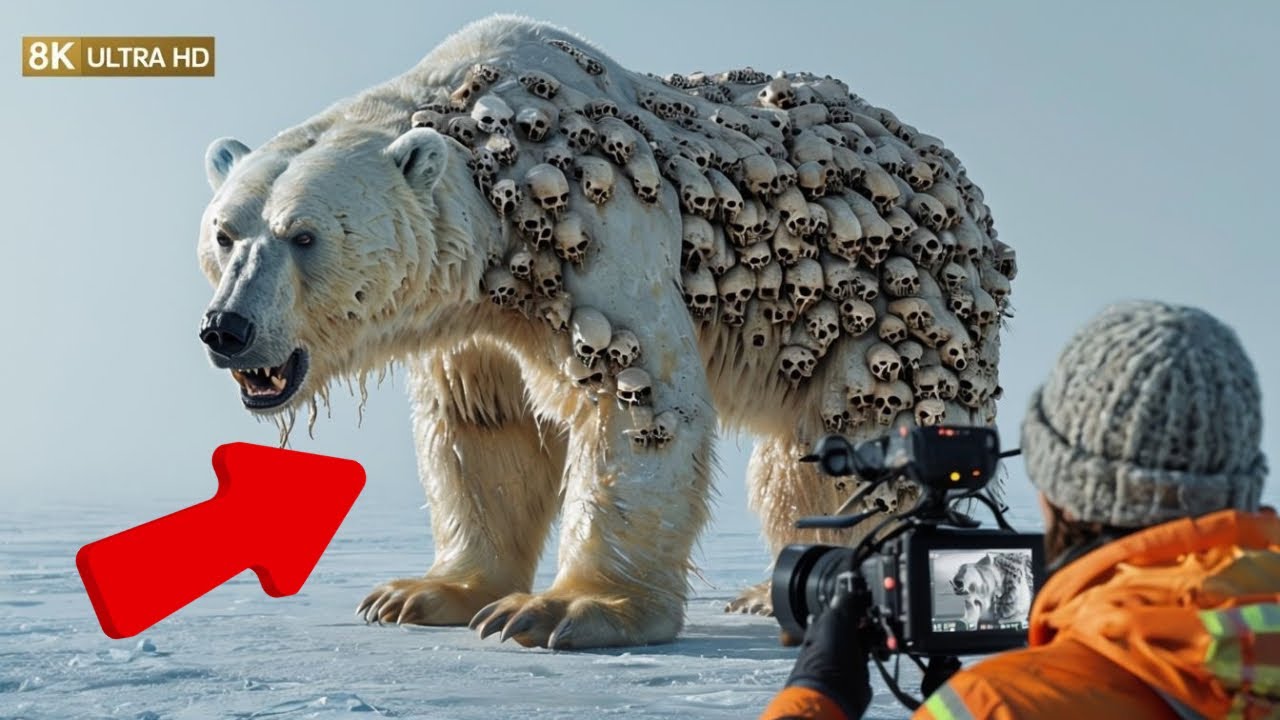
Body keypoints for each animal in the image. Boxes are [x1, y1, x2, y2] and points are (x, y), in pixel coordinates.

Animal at [195, 15, 1013, 649]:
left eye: (304, 237)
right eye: (226, 234)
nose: (226, 329)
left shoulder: (600, 233)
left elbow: (639, 401)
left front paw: (567, 610)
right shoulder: (474, 312)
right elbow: (483, 430)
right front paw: (420, 595)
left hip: (901, 304)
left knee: (875, 427)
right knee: (800, 462)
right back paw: (772, 590)